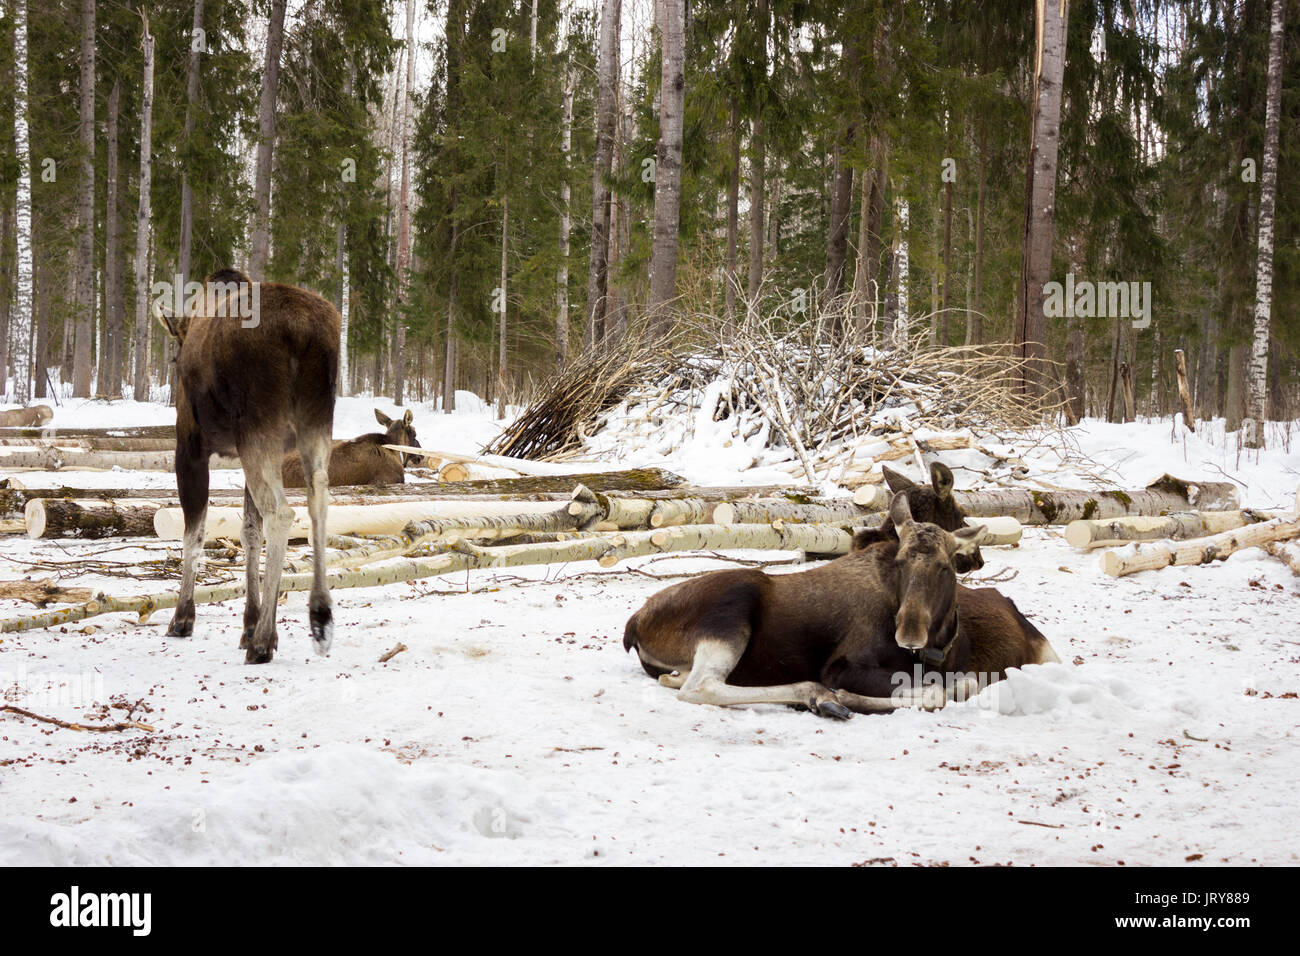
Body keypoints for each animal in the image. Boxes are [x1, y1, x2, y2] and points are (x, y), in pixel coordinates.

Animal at [158, 268, 338, 664]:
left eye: (174, 358)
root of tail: (303, 331)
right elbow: (249, 533)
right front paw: (250, 622)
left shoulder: (189, 446)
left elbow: (195, 532)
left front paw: (183, 617)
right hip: (315, 422)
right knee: (318, 497)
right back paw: (319, 615)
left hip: (258, 426)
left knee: (282, 513)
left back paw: (265, 641)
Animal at [623, 494, 991, 718]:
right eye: (900, 563)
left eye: (945, 567)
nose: (909, 632)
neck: (939, 643)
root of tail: (633, 626)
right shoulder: (841, 666)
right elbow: (936, 692)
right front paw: (844, 696)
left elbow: (967, 684)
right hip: (734, 607)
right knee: (700, 687)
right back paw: (820, 696)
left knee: (675, 679)